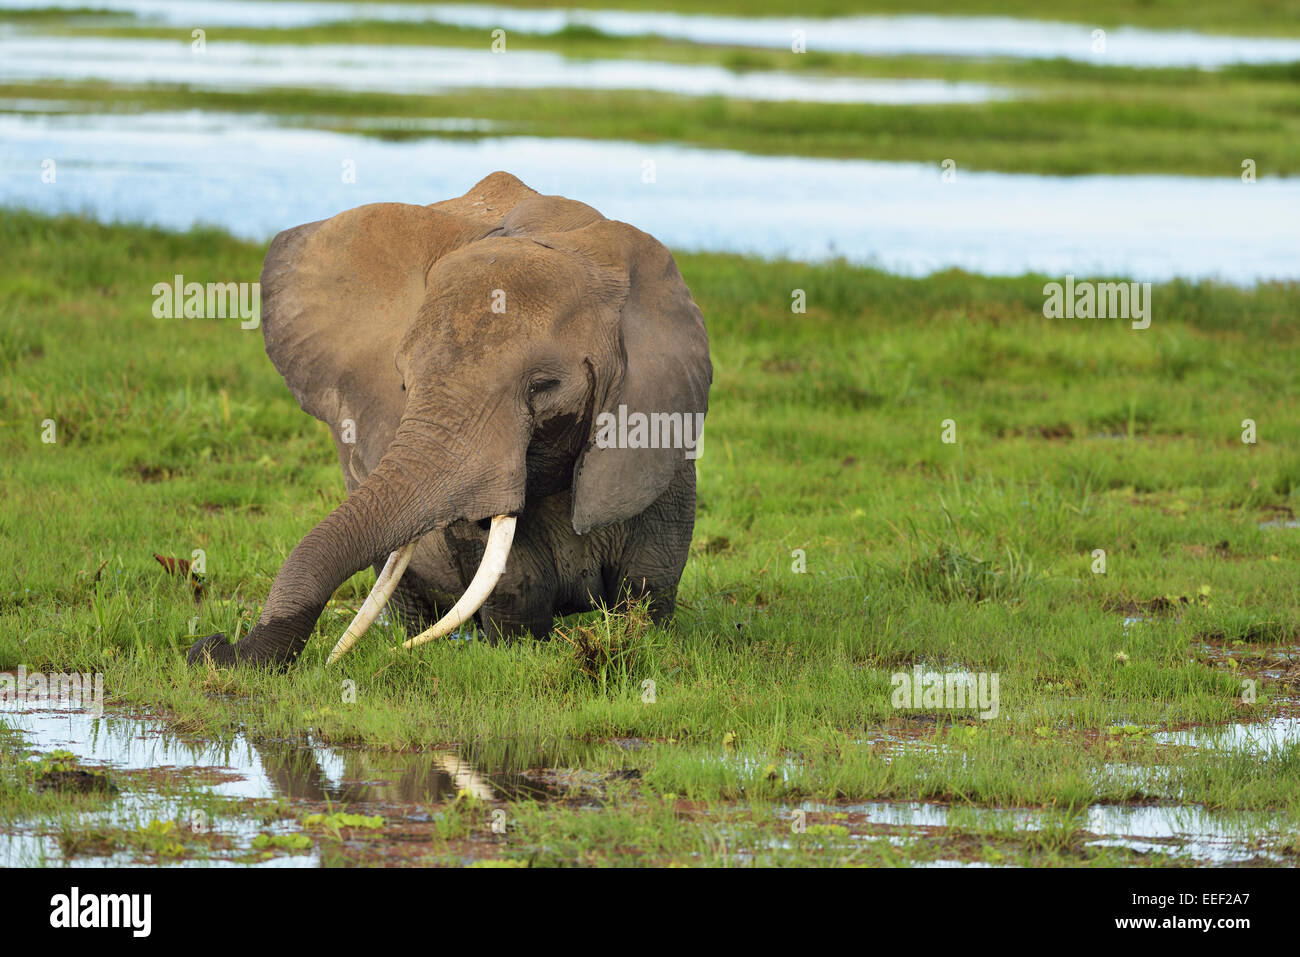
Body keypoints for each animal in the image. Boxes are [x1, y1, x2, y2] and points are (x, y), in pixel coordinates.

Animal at [186, 172, 712, 669]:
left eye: (543, 388)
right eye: (403, 385)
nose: (209, 645)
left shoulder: (661, 433)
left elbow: (646, 587)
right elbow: (514, 589)